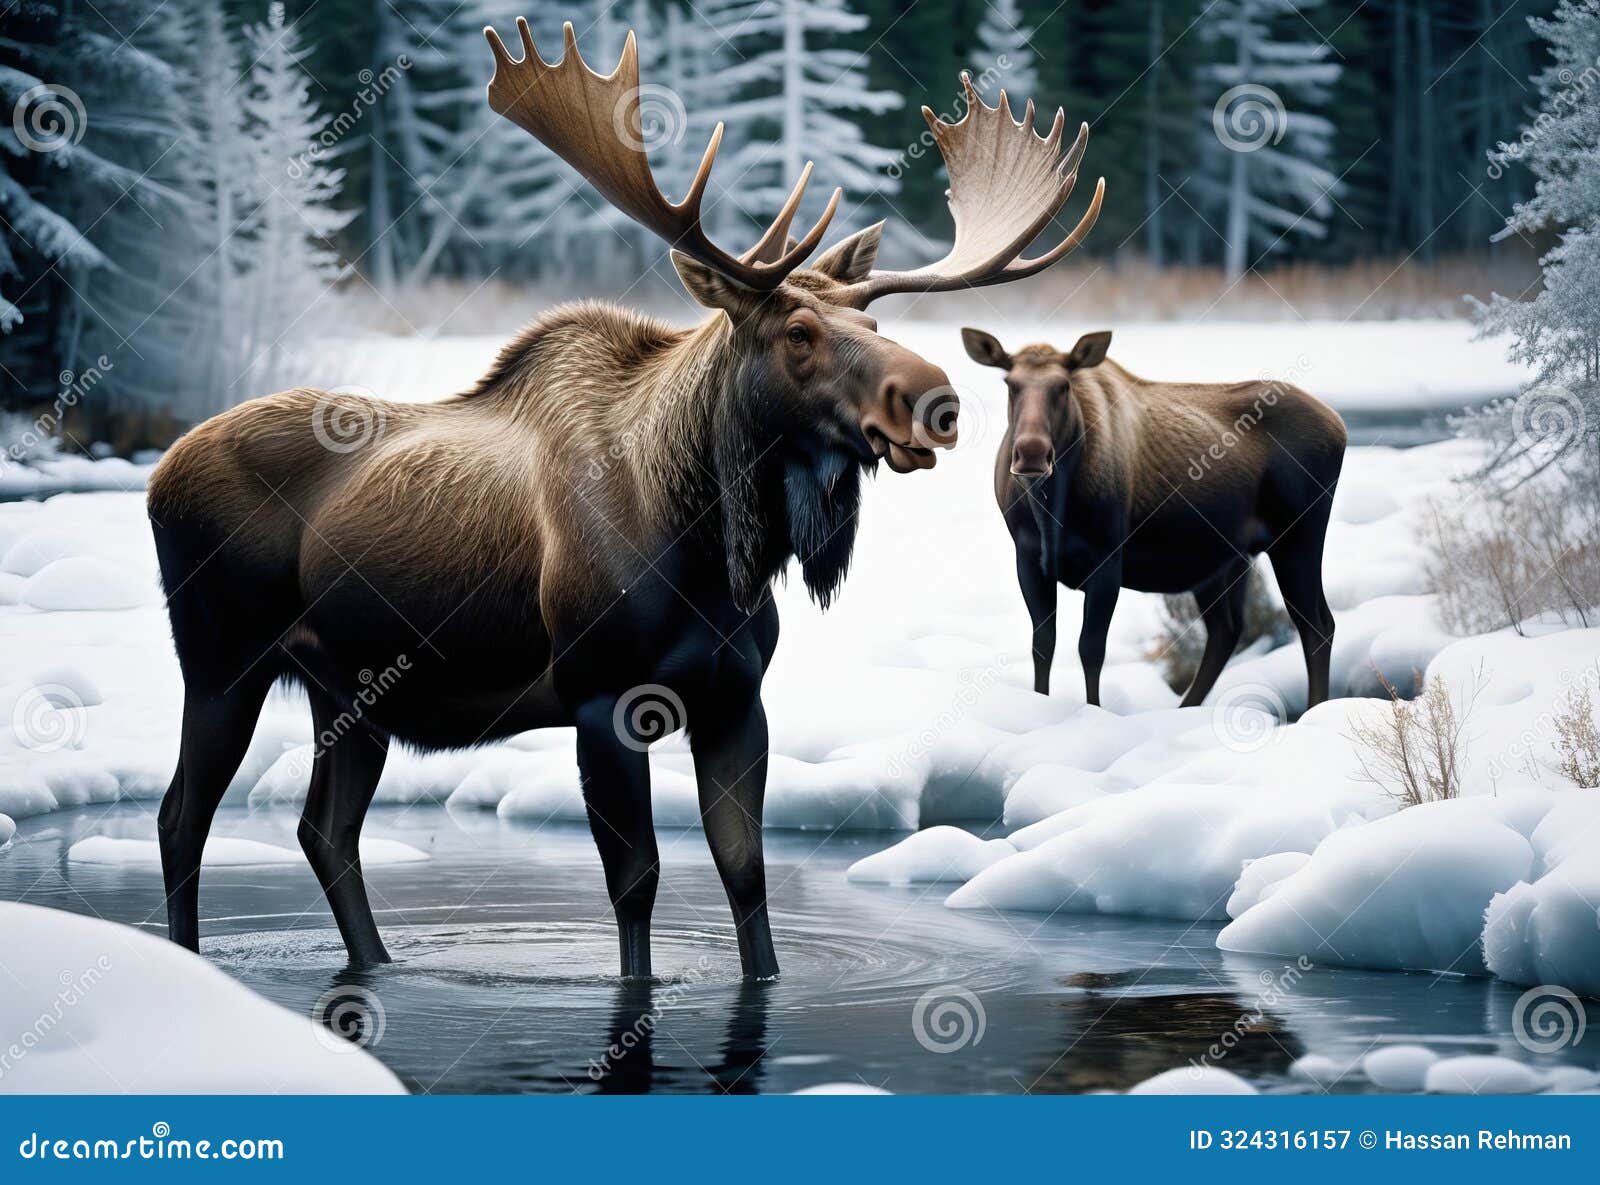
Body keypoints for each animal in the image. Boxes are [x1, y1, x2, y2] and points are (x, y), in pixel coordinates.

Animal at [144, 22, 1105, 982]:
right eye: (798, 333)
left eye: (873, 326)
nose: (937, 400)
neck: (709, 551)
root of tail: (158, 474)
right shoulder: (604, 697)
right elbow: (636, 881)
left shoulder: (735, 697)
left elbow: (746, 873)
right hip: (221, 658)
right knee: (182, 812)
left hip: (347, 687)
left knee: (325, 830)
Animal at [960, 327, 1346, 713]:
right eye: (1010, 383)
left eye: (1063, 385)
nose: (1032, 453)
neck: (1050, 512)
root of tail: (1340, 426)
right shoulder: (1028, 560)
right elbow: (1043, 645)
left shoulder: (1107, 560)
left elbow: (1091, 649)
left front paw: (1094, 710)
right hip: (1227, 559)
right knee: (1227, 630)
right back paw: (1186, 708)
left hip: (1298, 536)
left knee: (1316, 623)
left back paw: (1314, 709)